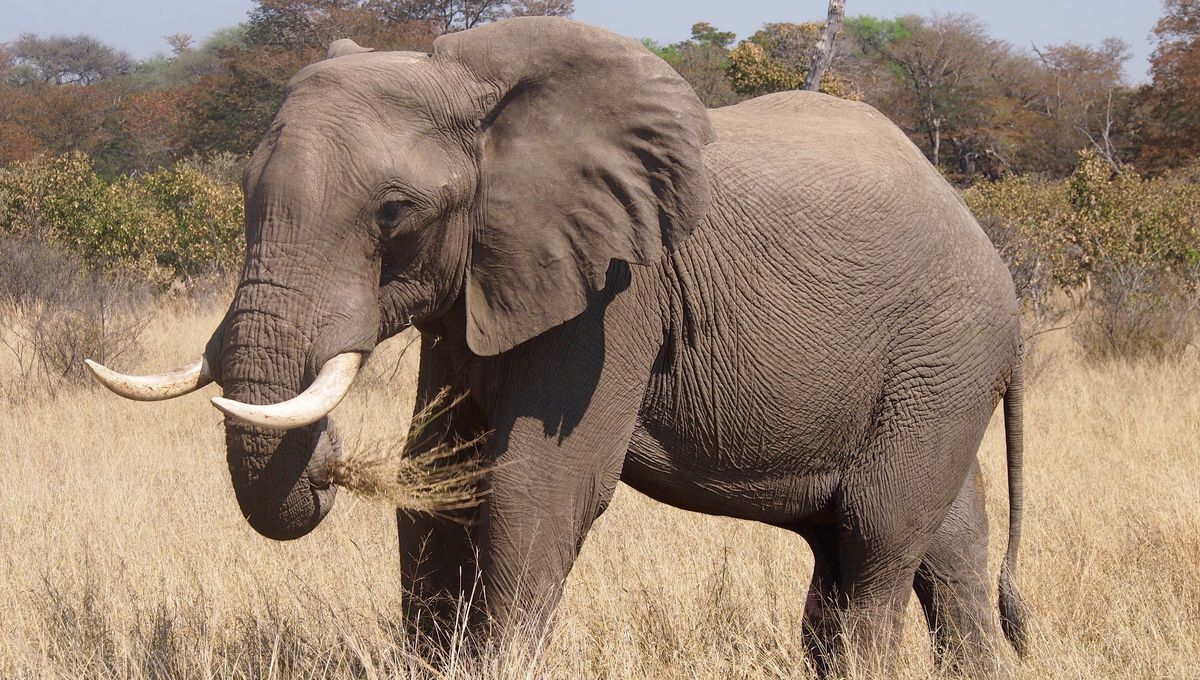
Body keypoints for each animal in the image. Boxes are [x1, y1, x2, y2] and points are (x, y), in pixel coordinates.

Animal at [88, 17, 1028, 676]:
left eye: (393, 213)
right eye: (246, 191)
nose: (330, 463)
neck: (478, 93)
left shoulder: (616, 292)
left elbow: (537, 485)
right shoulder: (480, 284)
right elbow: (441, 476)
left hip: (941, 354)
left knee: (873, 543)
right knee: (939, 545)